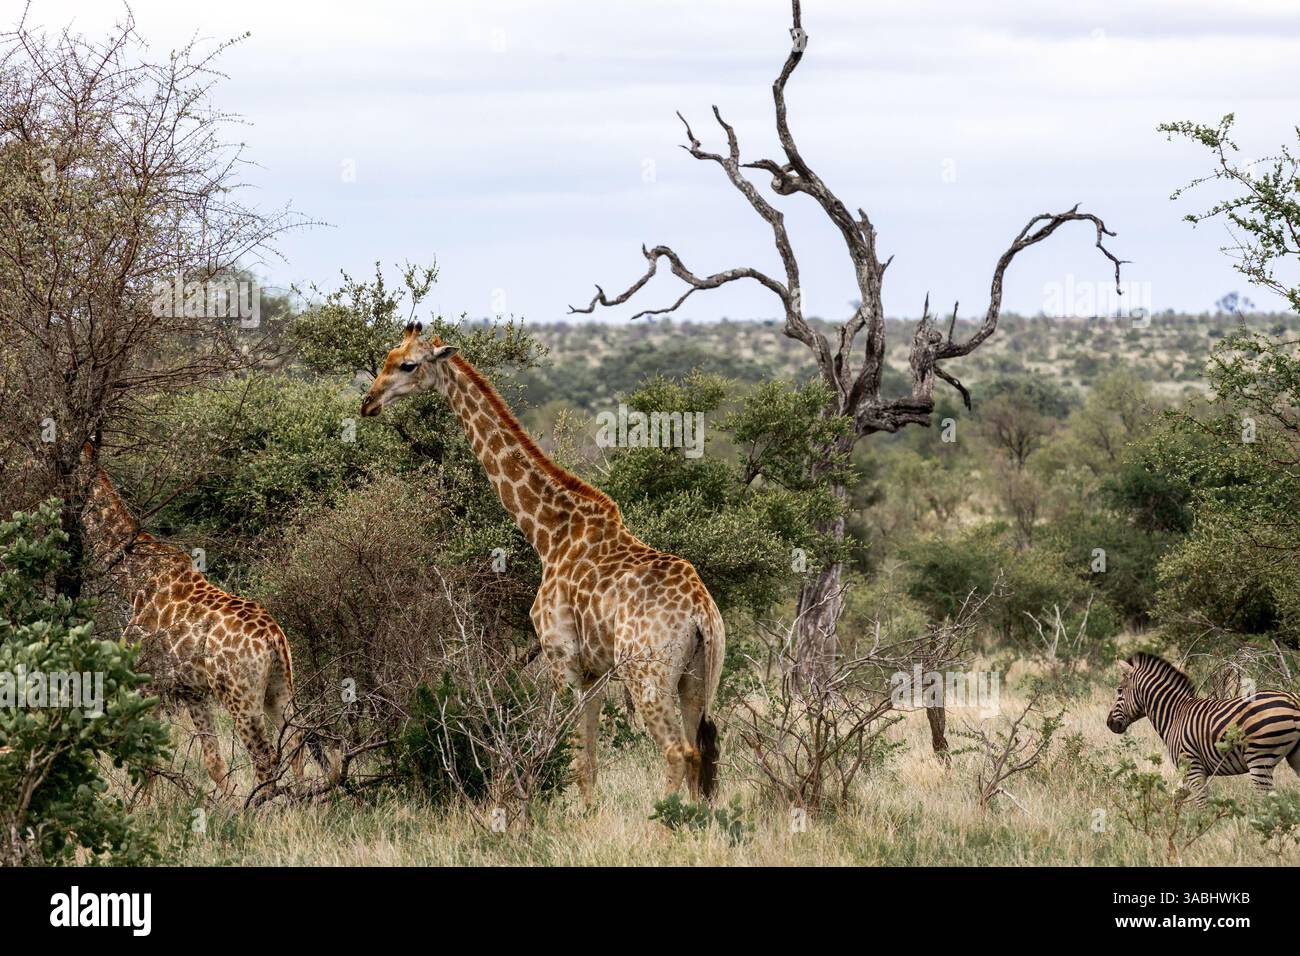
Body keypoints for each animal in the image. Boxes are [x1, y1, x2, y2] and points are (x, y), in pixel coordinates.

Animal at [78, 443, 306, 796]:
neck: (133, 577)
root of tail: (273, 638)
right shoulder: (190, 689)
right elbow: (214, 763)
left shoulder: (148, 682)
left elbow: (147, 763)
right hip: (279, 686)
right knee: (296, 745)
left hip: (239, 696)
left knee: (265, 756)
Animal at [360, 322, 725, 803]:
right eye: (386, 357)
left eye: (407, 365)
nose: (367, 402)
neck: (548, 534)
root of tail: (701, 612)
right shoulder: (593, 671)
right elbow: (589, 763)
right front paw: (591, 815)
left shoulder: (560, 656)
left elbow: (574, 759)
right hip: (698, 680)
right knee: (702, 756)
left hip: (647, 674)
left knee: (676, 752)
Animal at [1106, 652, 1300, 806]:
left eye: (1119, 691)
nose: (1109, 723)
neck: (1175, 715)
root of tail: (1293, 700)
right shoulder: (1187, 770)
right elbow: (1175, 798)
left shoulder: (1192, 766)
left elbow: (1201, 805)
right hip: (1294, 756)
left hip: (1260, 758)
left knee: (1266, 801)